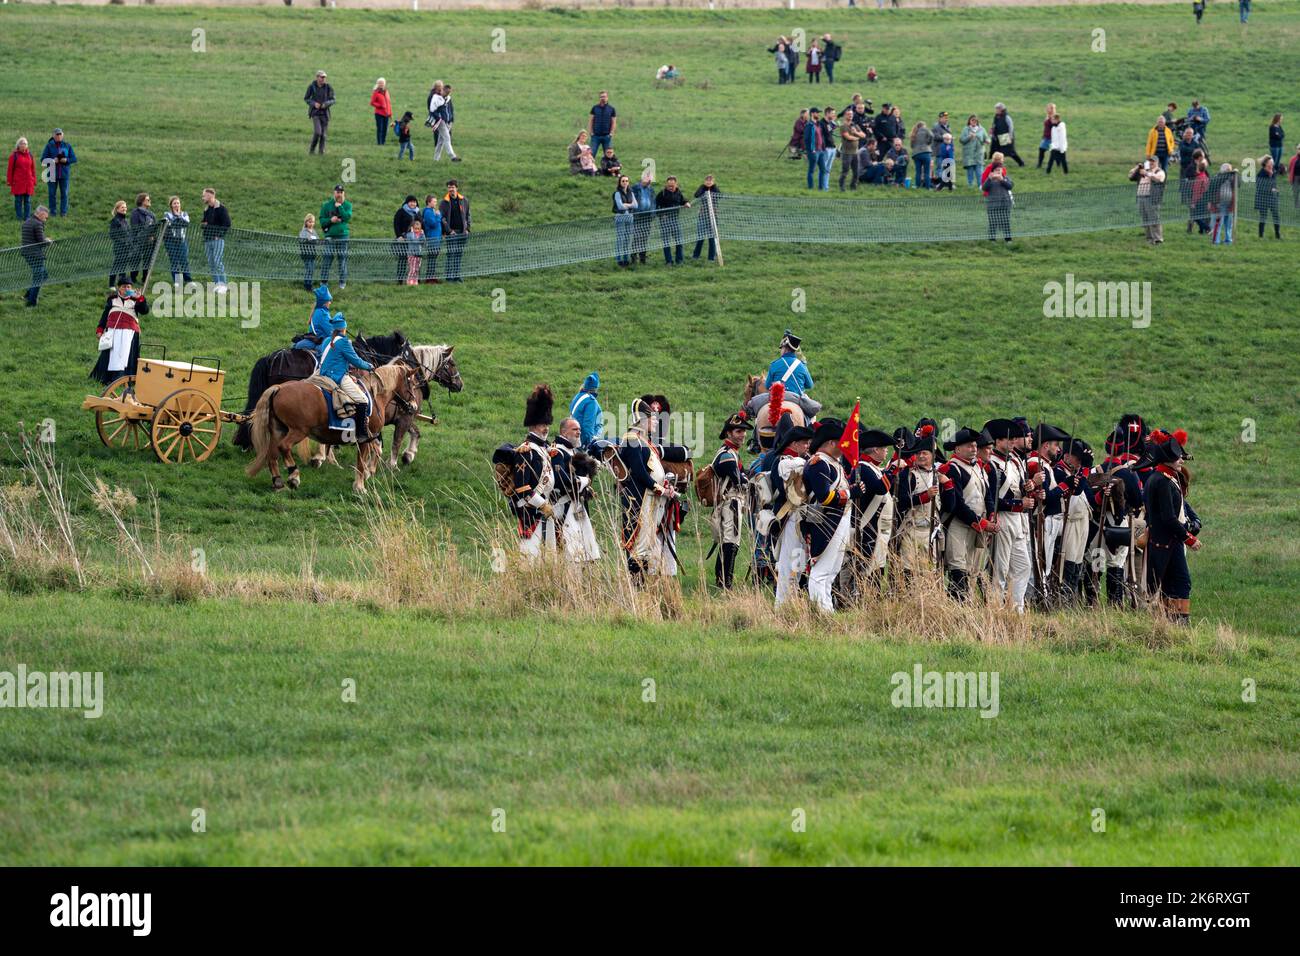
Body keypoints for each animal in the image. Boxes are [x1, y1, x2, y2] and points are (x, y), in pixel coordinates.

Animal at [245, 361, 418, 494]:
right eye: (412, 384)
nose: (414, 406)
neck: (374, 394)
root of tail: (279, 388)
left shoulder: (371, 437)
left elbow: (376, 452)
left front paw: (369, 473)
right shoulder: (364, 439)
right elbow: (361, 463)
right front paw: (360, 486)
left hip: (278, 430)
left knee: (272, 454)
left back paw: (278, 482)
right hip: (297, 431)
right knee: (284, 447)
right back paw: (294, 476)